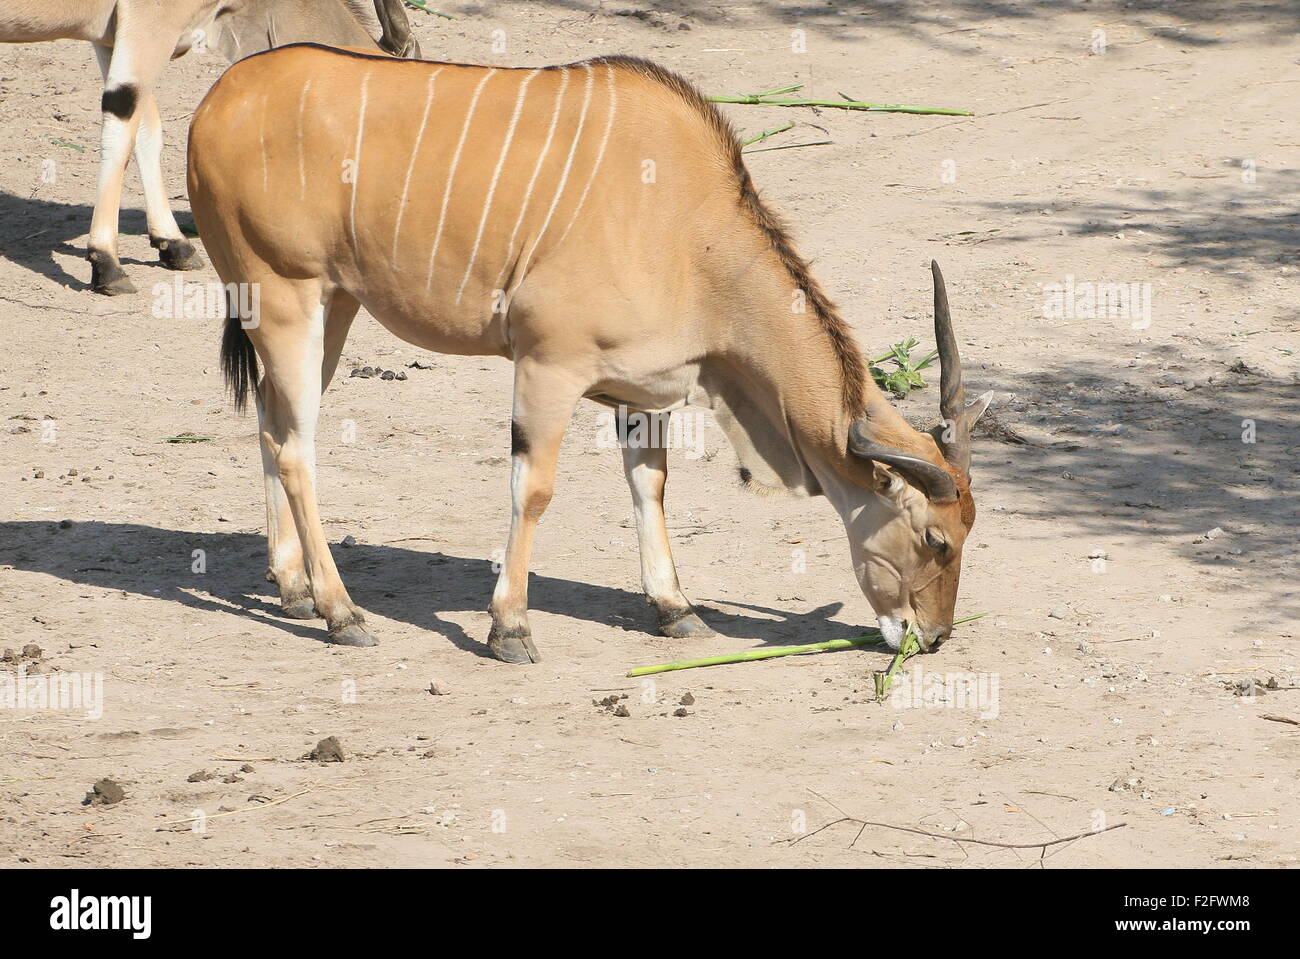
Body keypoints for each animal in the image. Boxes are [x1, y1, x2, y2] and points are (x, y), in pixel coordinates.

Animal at [0, 0, 417, 295]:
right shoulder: (148, 27)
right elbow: (122, 128)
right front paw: (106, 264)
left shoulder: (109, 38)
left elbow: (146, 130)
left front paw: (173, 244)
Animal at [188, 44, 995, 663]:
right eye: (935, 537)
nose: (934, 636)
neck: (687, 226)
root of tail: (219, 97)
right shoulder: (547, 365)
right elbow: (535, 489)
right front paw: (509, 628)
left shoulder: (644, 394)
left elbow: (651, 487)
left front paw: (676, 608)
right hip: (286, 298)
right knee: (296, 449)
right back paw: (342, 613)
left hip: (332, 308)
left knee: (270, 424)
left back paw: (293, 588)